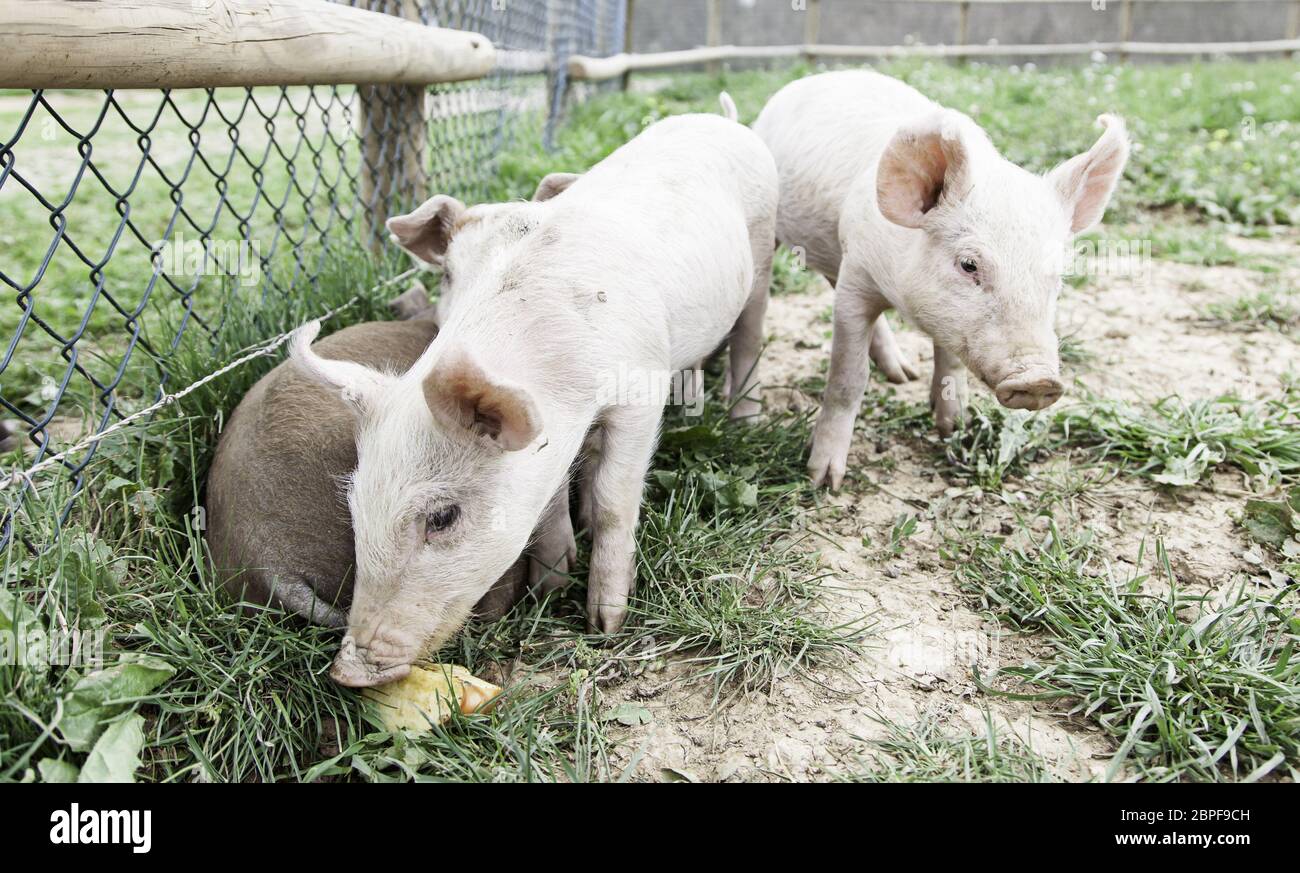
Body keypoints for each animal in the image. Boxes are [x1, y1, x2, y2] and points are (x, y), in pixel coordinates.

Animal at [292, 99, 778, 686]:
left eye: (442, 517)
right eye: (356, 502)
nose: (346, 672)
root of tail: (720, 119)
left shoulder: (640, 392)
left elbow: (615, 501)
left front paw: (604, 624)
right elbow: (549, 498)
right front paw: (552, 585)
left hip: (764, 248)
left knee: (749, 334)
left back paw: (743, 419)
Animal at [752, 70, 1129, 488]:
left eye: (1057, 275)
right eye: (969, 264)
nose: (1039, 379)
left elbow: (950, 362)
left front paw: (954, 428)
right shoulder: (857, 276)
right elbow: (848, 376)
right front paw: (823, 481)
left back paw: (903, 375)